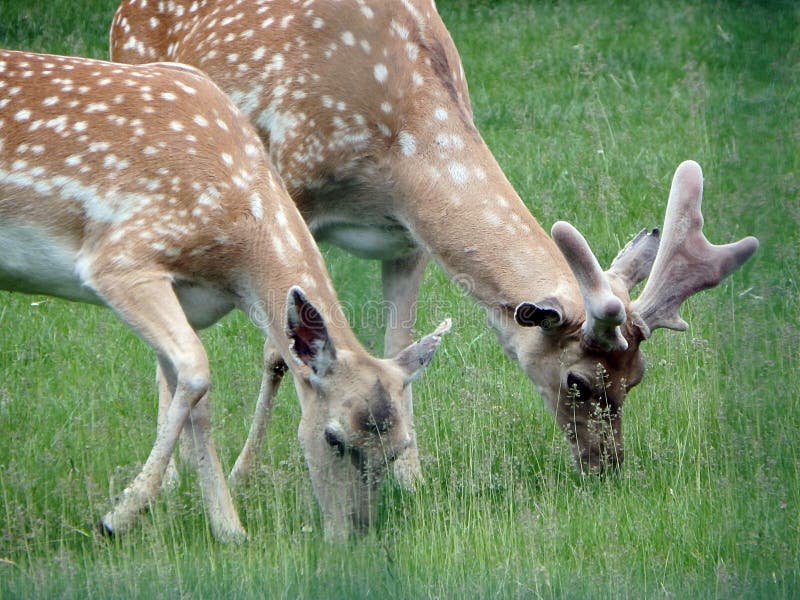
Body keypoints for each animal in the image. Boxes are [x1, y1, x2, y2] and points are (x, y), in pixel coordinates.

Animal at [0, 48, 450, 543]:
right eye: (334, 438)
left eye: (401, 446)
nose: (354, 534)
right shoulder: (119, 260)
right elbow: (197, 372)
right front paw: (117, 517)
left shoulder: (187, 298)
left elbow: (195, 397)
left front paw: (229, 530)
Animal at [109, 0, 758, 478]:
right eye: (577, 381)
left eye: (637, 378)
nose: (607, 466)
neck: (402, 147)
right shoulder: (293, 196)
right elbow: (280, 351)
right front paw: (247, 473)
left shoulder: (407, 240)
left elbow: (401, 344)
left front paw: (410, 476)